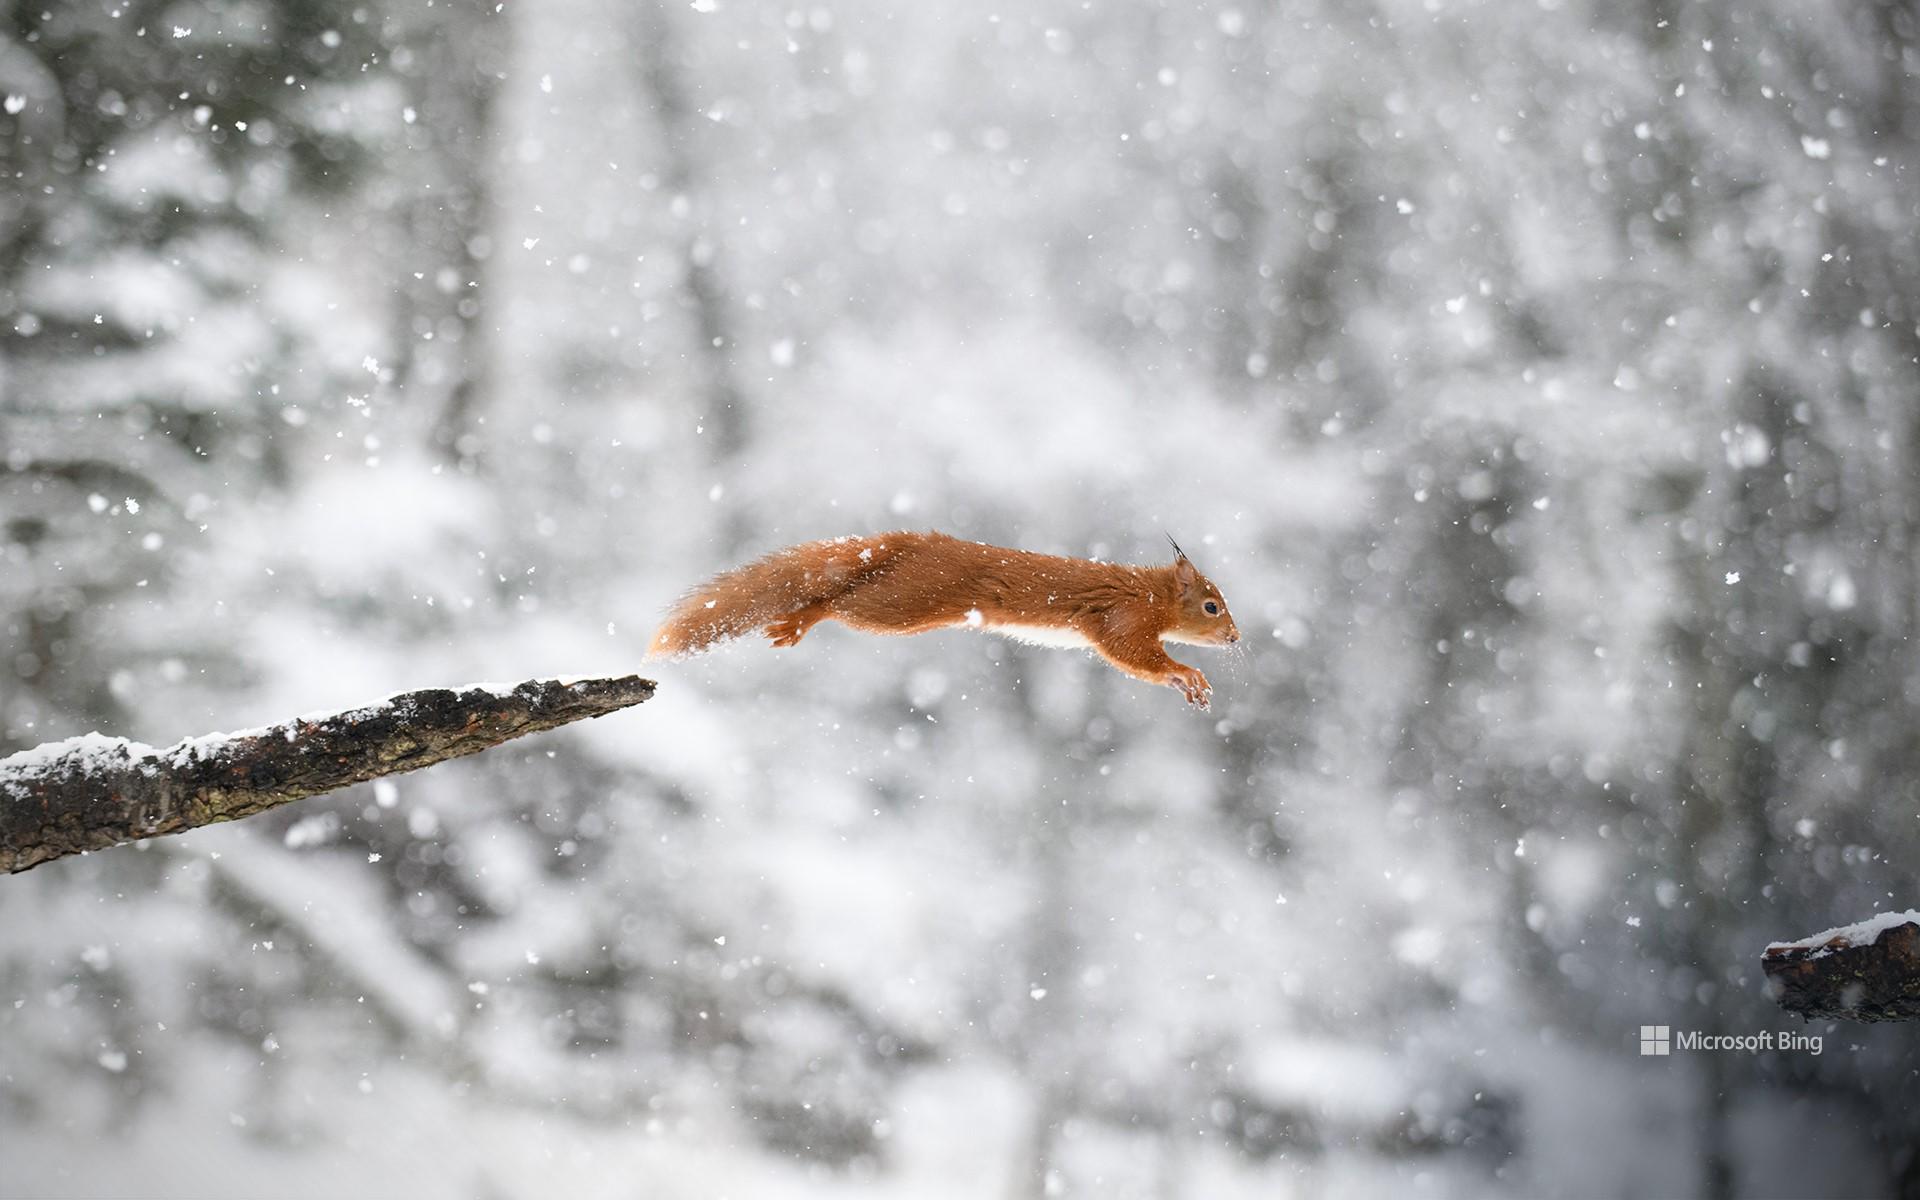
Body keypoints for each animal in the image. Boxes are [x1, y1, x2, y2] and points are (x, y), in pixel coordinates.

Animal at [648, 531, 1240, 707]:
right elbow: (1132, 654)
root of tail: (910, 543)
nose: (1236, 637)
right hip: (902, 603)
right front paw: (1188, 675)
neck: (1154, 595)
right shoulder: (1123, 618)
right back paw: (801, 620)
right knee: (836, 601)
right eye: (1212, 605)